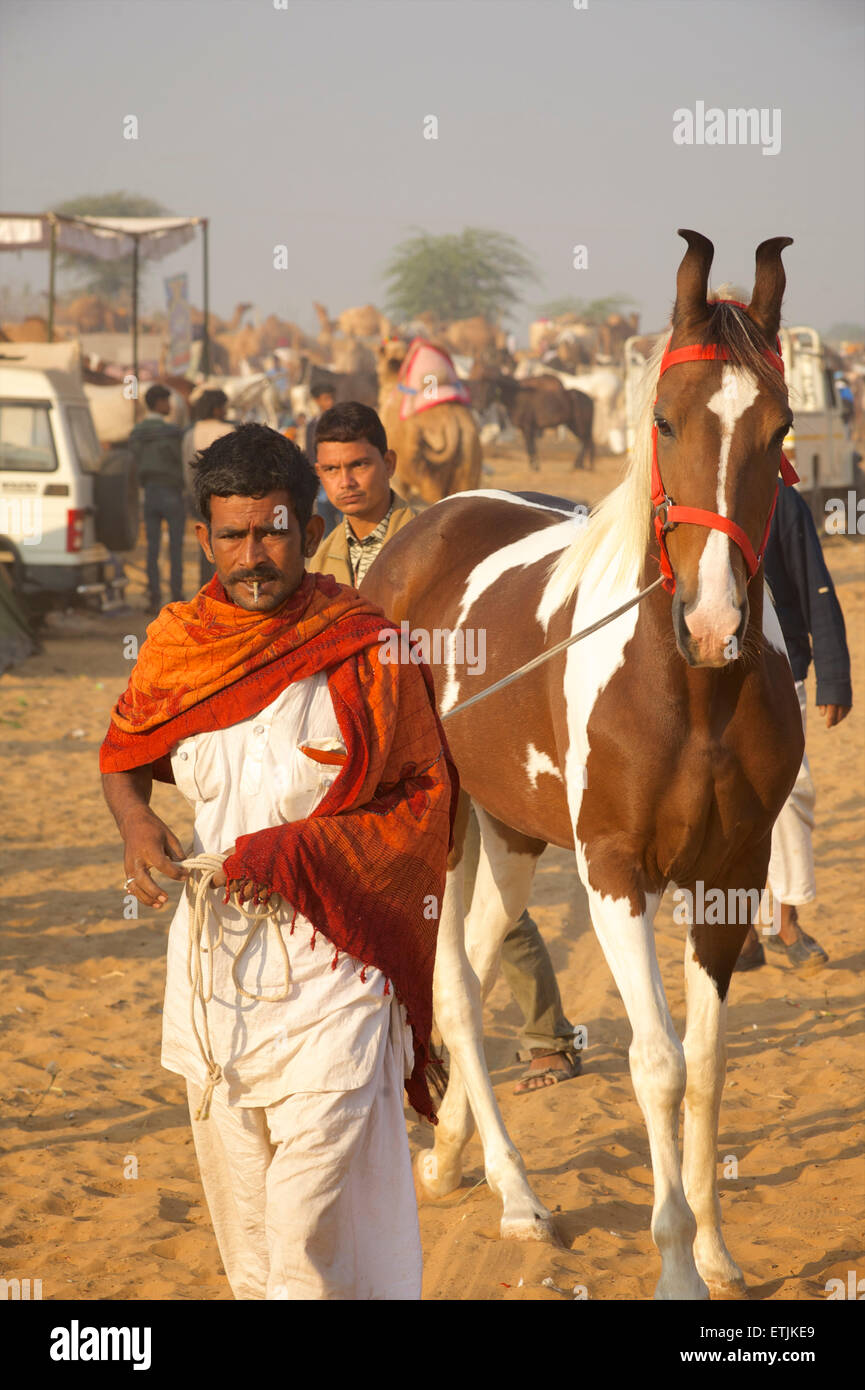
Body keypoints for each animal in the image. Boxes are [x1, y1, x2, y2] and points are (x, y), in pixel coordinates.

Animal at [361, 230, 804, 1300]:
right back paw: (517, 1196)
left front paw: (718, 1252)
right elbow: (658, 1063)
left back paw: (456, 1159)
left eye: (776, 429)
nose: (713, 622)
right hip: (443, 829)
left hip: (513, 833)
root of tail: (419, 529)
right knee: (451, 988)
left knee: (476, 967)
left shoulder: (729, 876)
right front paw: (677, 1263)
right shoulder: (613, 871)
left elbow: (708, 1065)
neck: (690, 693)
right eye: (662, 419)